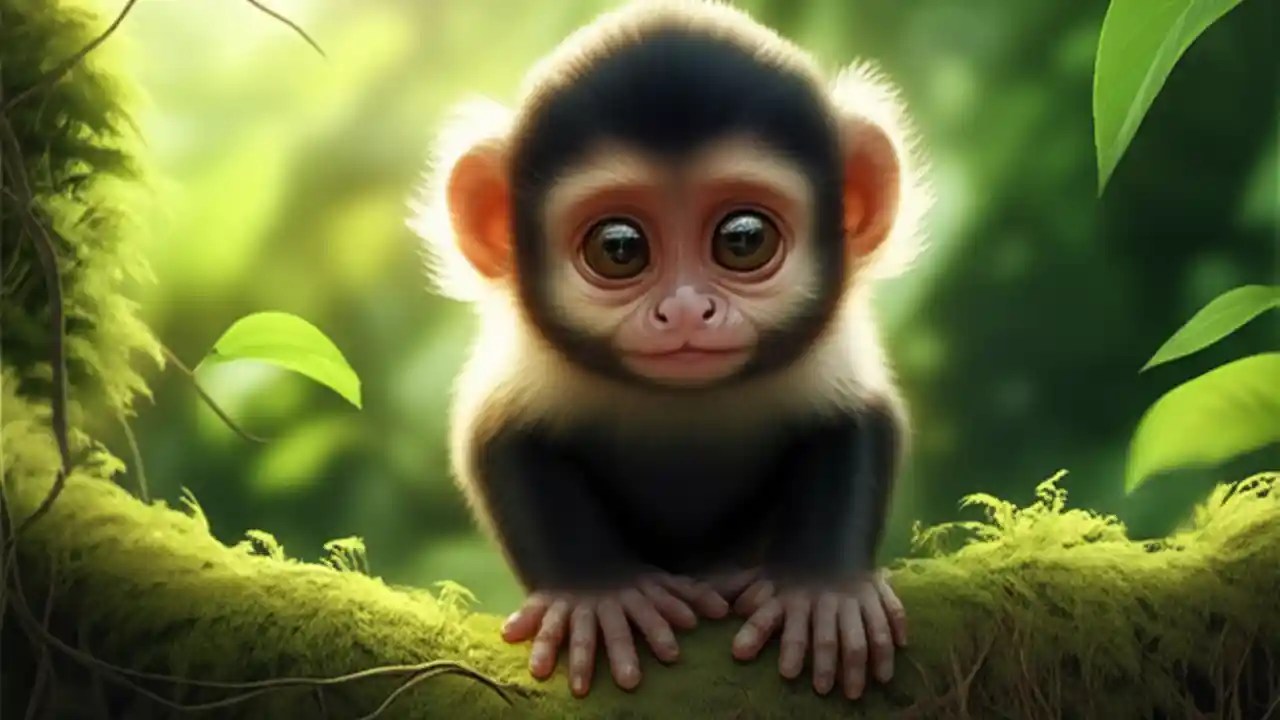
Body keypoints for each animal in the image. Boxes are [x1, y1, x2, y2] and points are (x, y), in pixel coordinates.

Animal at [407, 0, 932, 702]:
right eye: (619, 248)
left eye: (744, 239)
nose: (684, 309)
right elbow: (499, 438)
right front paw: (598, 598)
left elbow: (859, 419)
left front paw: (821, 592)